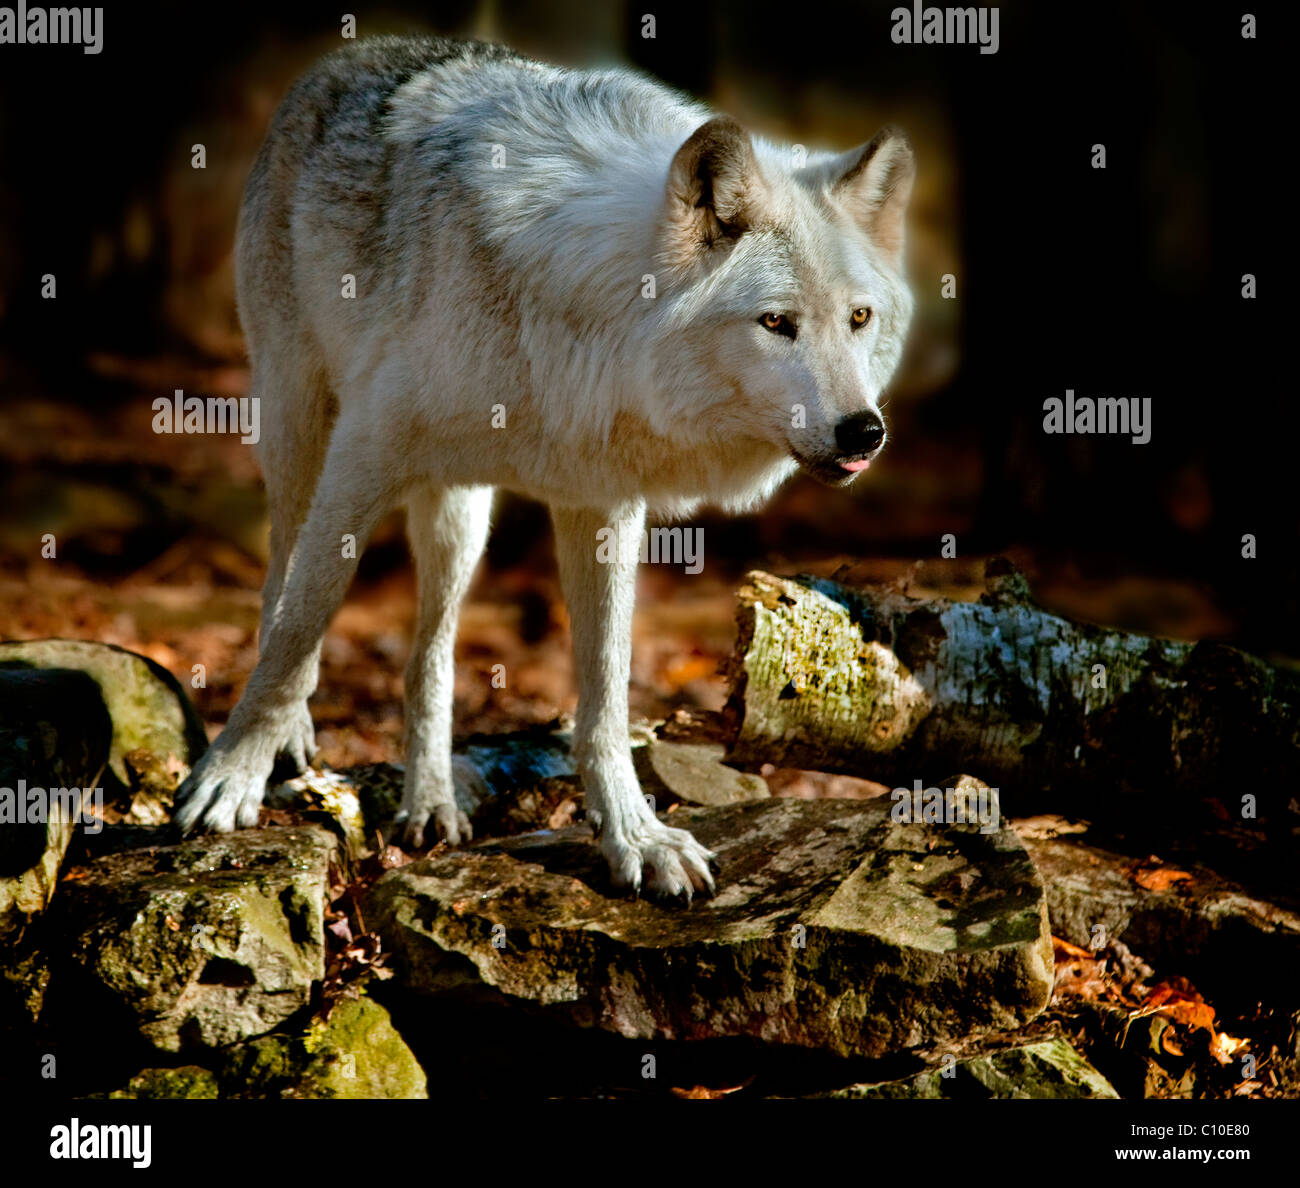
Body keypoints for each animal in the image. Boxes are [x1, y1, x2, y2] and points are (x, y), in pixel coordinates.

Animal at [175, 35, 915, 902]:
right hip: (298, 427)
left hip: (462, 518)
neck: (590, 320)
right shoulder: (363, 453)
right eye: (776, 323)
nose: (864, 431)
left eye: (859, 317)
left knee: (430, 654)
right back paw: (291, 742)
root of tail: (356, 54)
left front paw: (636, 838)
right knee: (279, 582)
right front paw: (229, 778)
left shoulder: (603, 505)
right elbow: (296, 636)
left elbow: (603, 698)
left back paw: (431, 801)